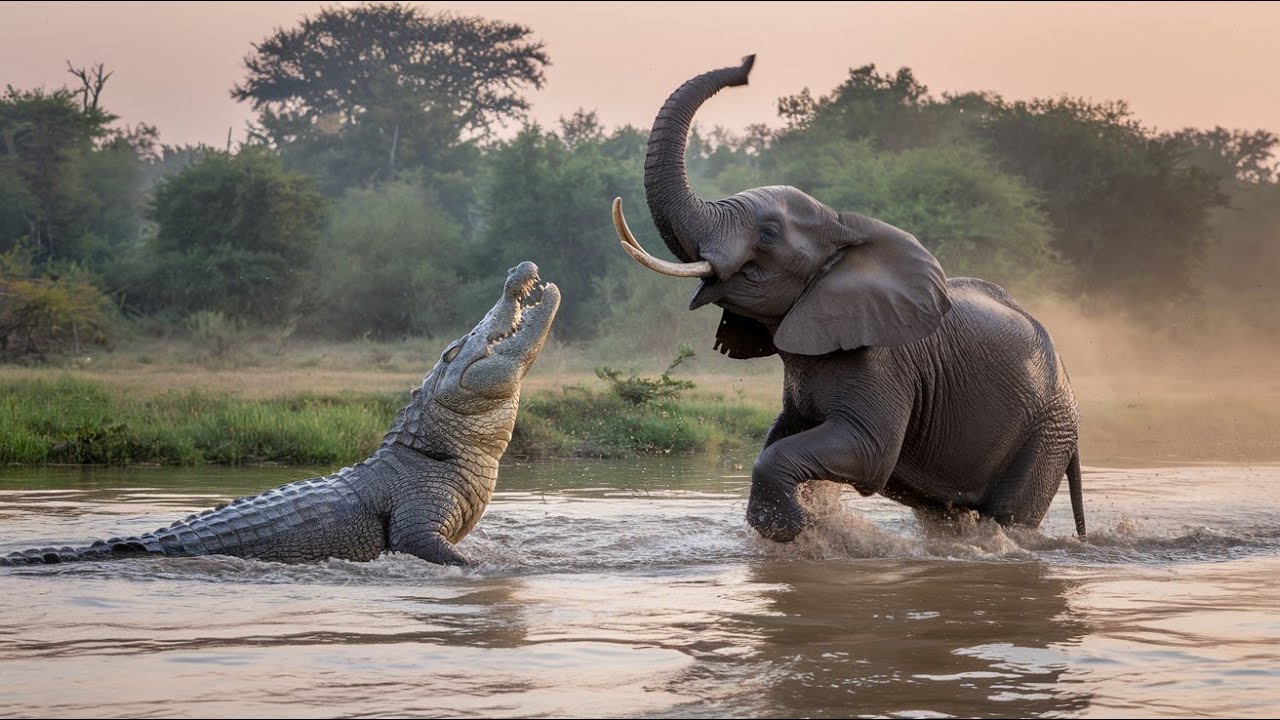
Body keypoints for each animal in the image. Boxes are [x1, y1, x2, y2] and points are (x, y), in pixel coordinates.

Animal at [613, 54, 1085, 542]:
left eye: (768, 234)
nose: (747, 65)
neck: (839, 227)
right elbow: (782, 435)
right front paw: (806, 526)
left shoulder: (882, 360)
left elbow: (867, 450)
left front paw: (799, 530)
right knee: (945, 515)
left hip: (1046, 433)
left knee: (1010, 517)